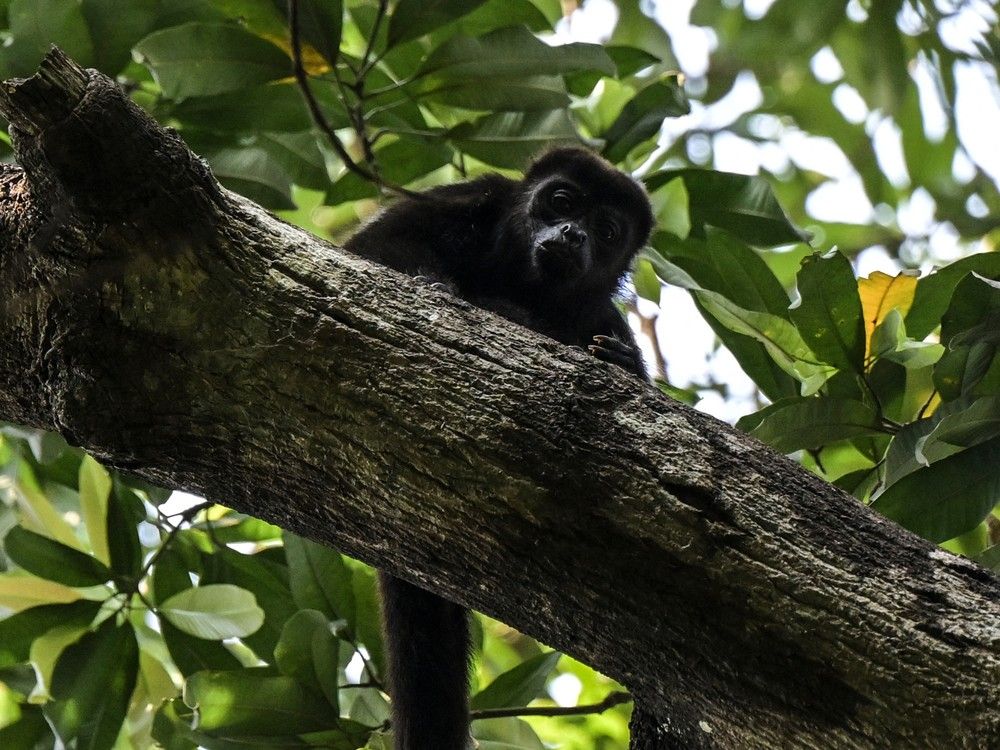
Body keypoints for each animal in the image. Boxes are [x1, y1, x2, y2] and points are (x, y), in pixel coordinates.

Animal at [344, 147, 654, 750]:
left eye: (607, 231)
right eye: (562, 201)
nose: (574, 233)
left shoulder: (603, 317)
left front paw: (615, 361)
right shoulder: (469, 198)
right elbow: (369, 249)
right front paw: (438, 284)